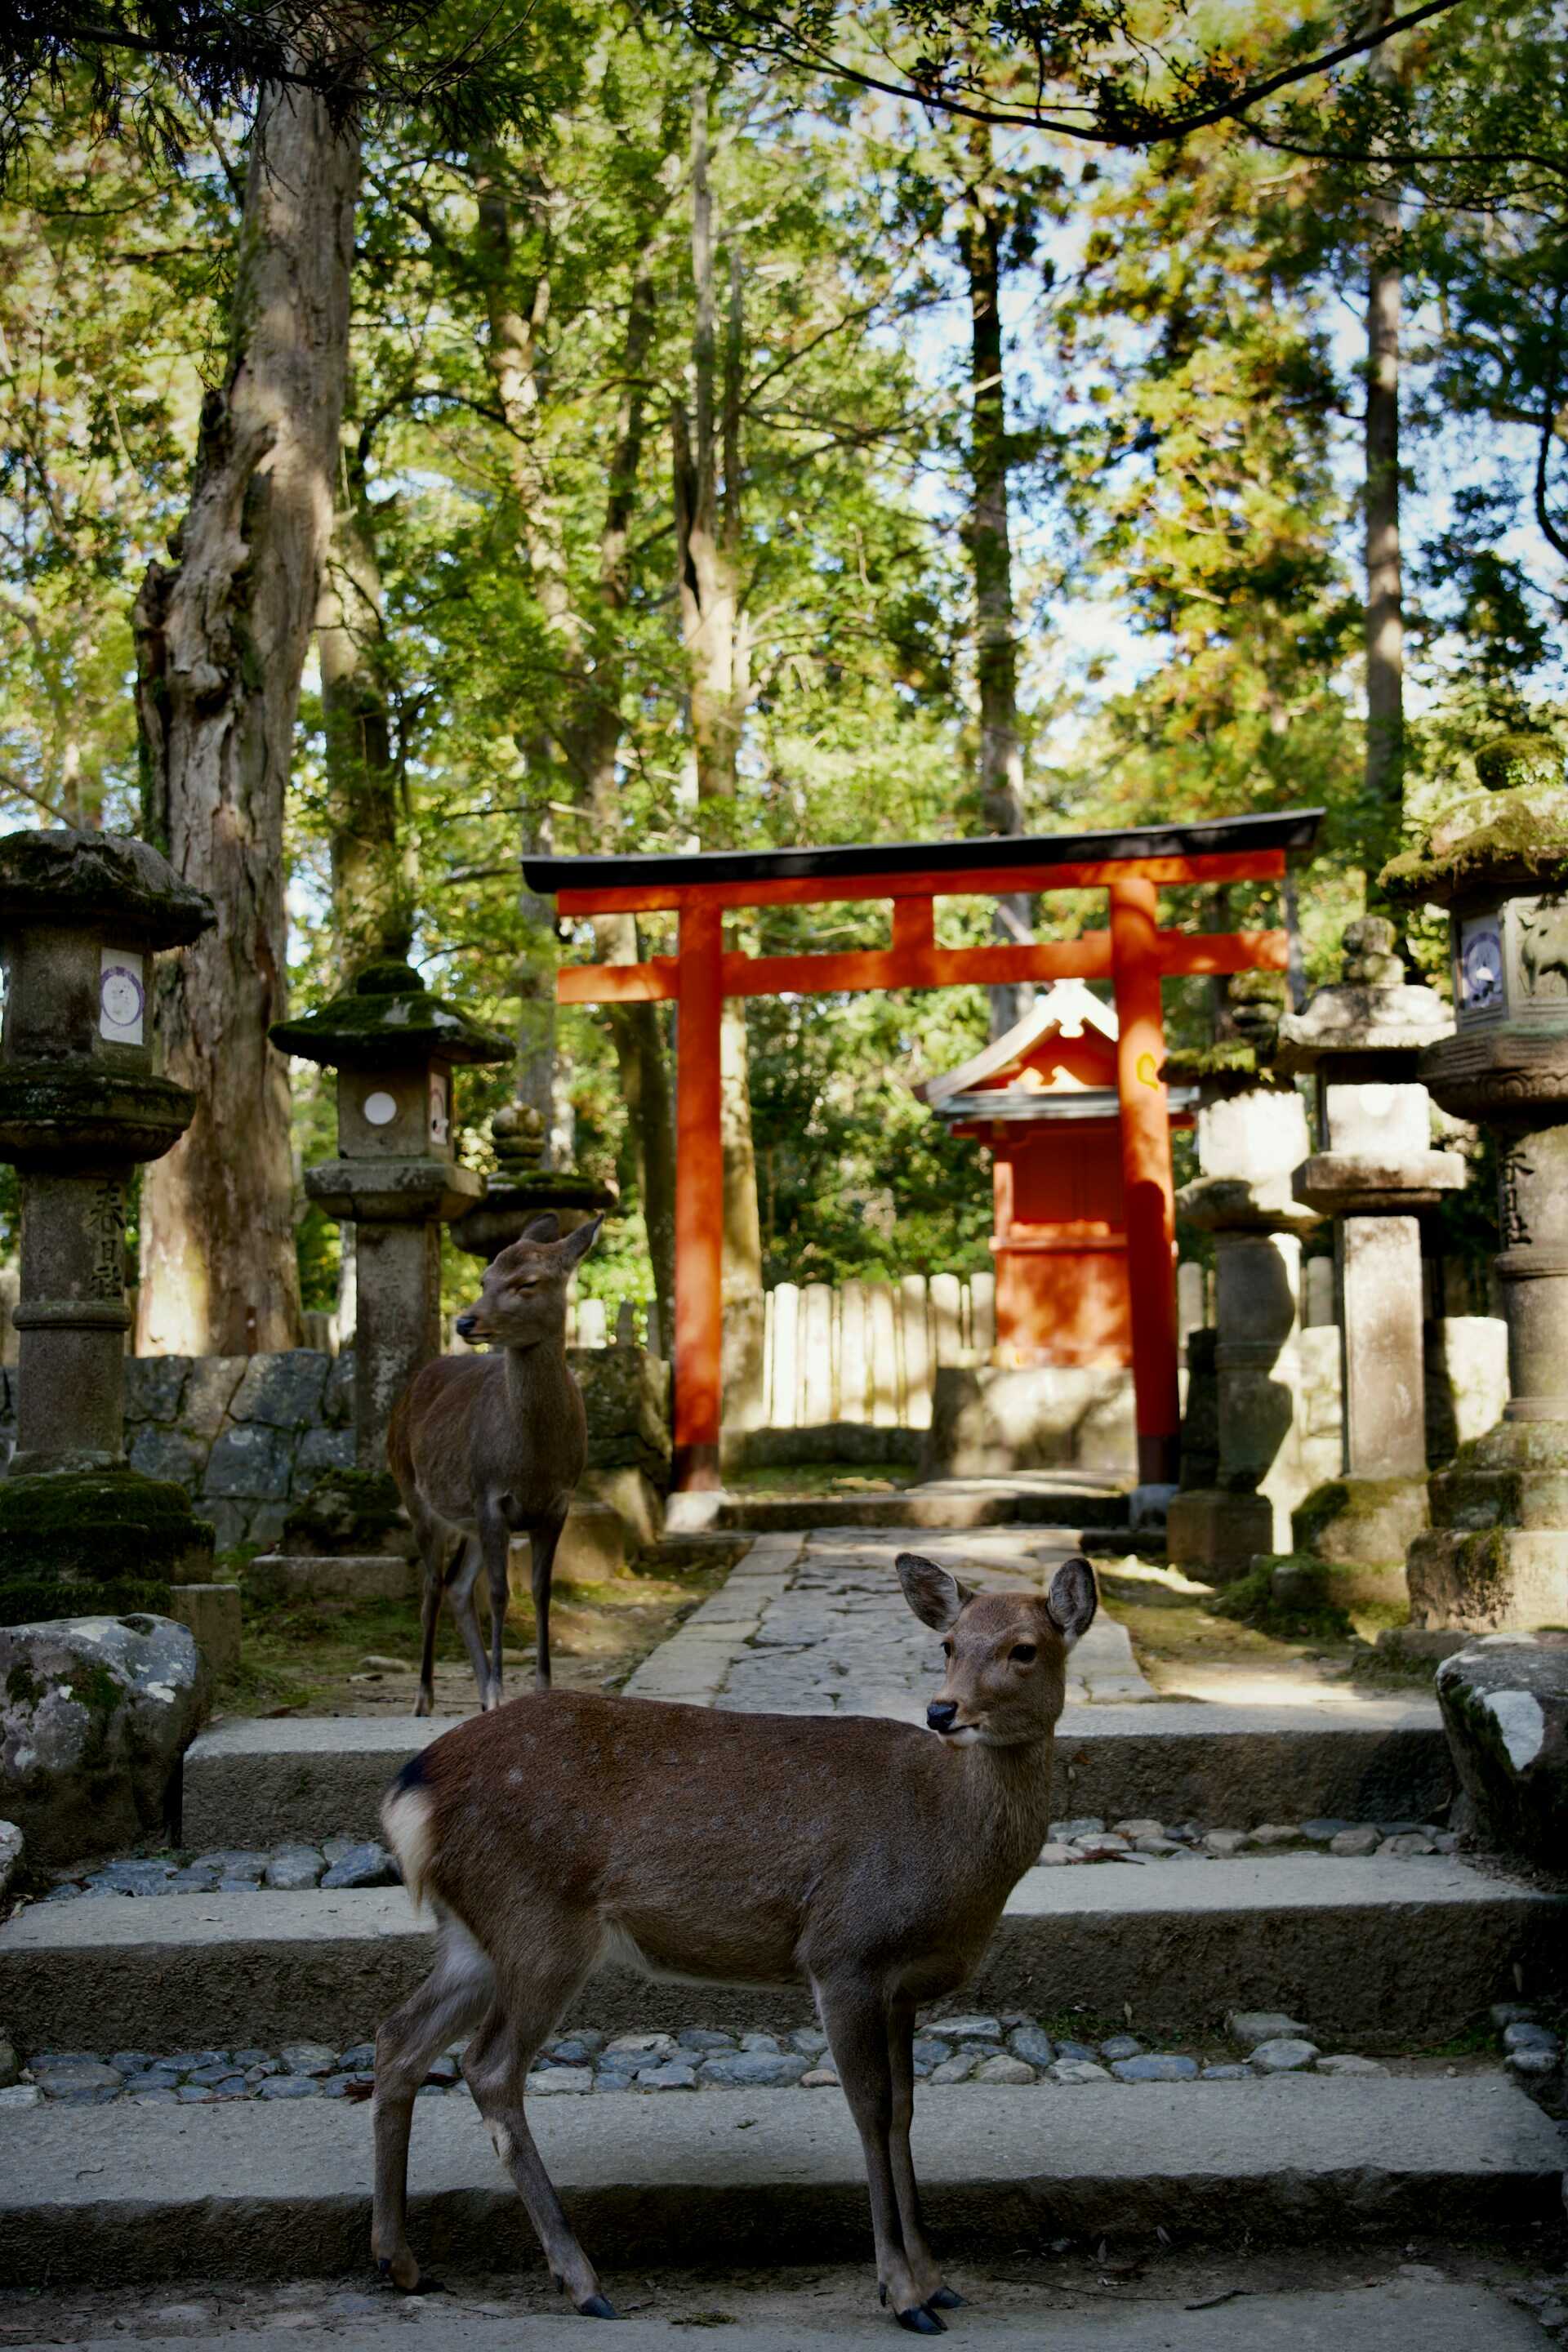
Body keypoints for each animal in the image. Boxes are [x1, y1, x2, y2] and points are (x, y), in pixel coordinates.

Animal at [371, 1547, 1097, 2333]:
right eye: (949, 1645)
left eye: (1024, 1649)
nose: (943, 1710)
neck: (949, 1849)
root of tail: (409, 1794)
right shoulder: (845, 1951)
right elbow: (870, 2111)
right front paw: (902, 2294)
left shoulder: (901, 1988)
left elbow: (906, 2112)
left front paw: (938, 2283)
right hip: (539, 1922)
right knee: (488, 2065)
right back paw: (581, 2280)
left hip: (475, 1937)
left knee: (401, 2037)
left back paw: (400, 2262)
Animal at [386, 1210, 602, 1714]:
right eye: (486, 1278)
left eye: (528, 1282)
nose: (466, 1321)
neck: (533, 1464)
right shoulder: (489, 1494)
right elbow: (502, 1594)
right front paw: (505, 1691)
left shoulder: (558, 1503)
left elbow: (541, 1590)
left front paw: (538, 1688)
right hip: (414, 1494)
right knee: (431, 1587)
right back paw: (424, 1699)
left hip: (465, 1522)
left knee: (458, 1587)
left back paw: (483, 1695)